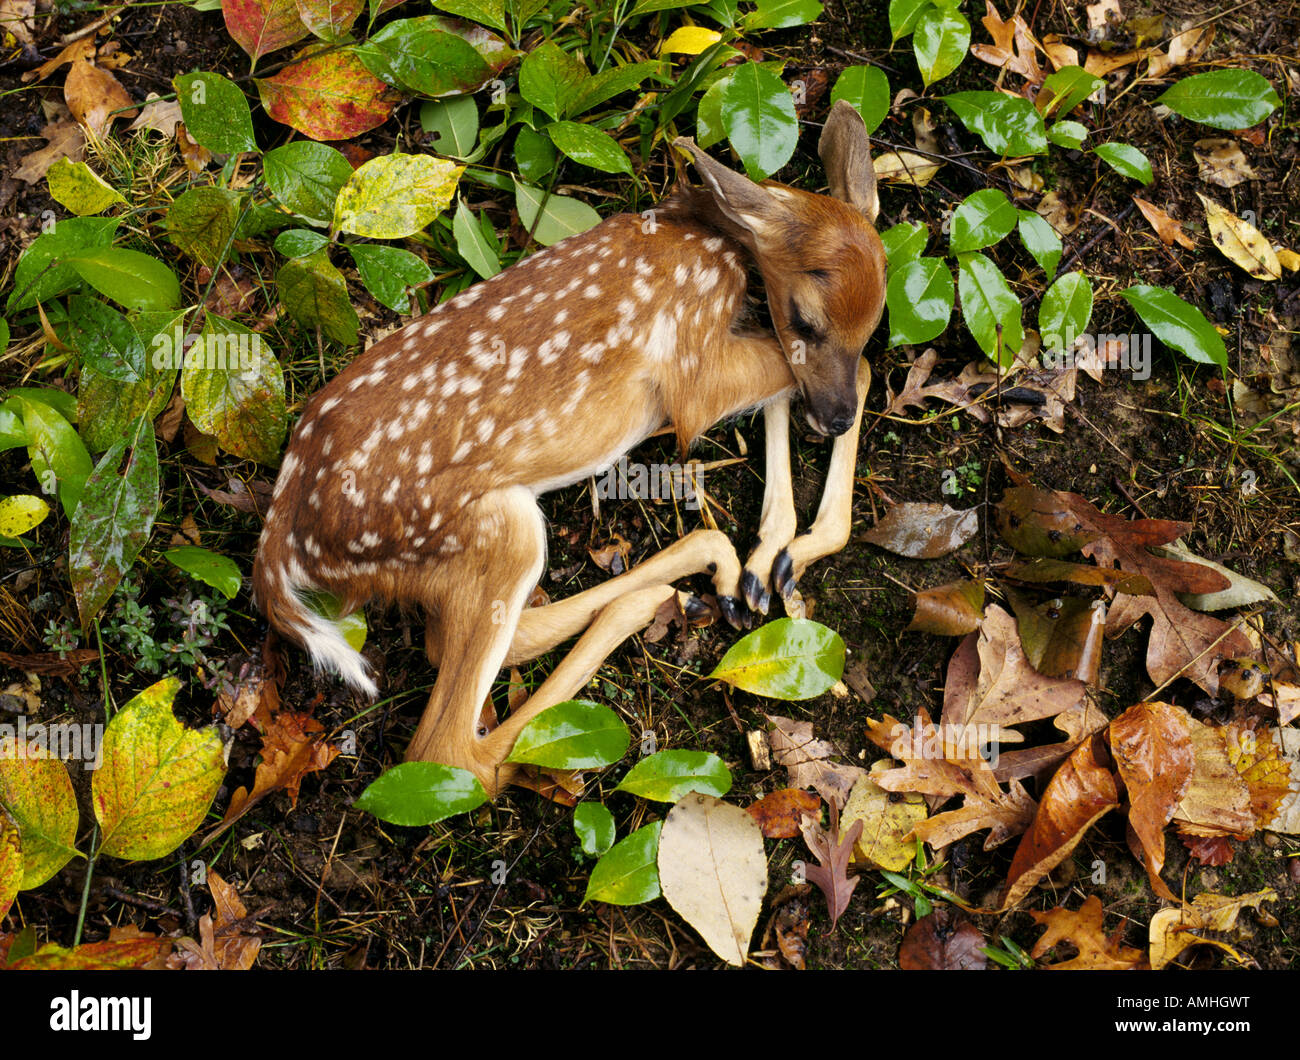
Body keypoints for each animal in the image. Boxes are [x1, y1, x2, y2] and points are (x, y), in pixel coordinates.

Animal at [252, 99, 887, 796]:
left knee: (463, 647)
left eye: (878, 317)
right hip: (492, 533)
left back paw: (697, 578)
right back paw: (660, 597)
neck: (706, 237)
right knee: (451, 752)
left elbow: (818, 380)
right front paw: (786, 549)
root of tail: (282, 540)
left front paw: (770, 558)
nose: (833, 420)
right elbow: (816, 378)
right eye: (806, 319)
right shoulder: (693, 366)